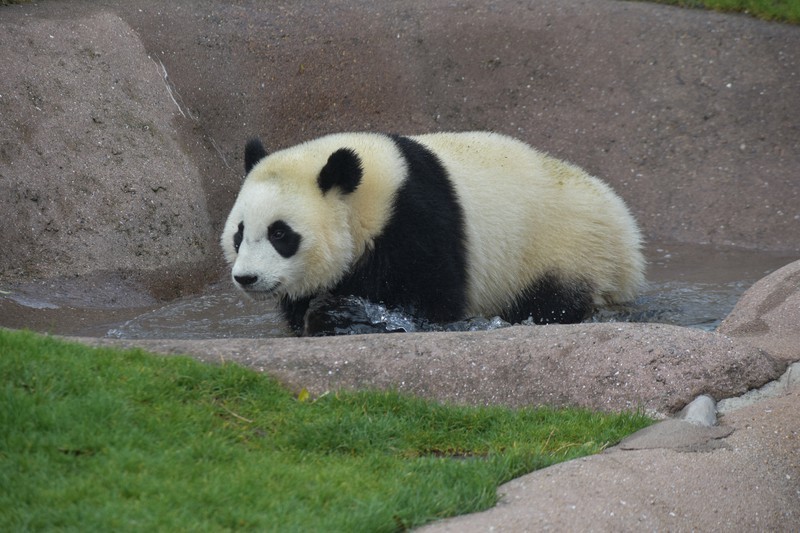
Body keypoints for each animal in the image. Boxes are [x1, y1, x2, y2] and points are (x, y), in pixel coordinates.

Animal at [221, 131, 645, 335]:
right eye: (239, 234)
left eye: (281, 234)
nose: (247, 278)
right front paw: (318, 314)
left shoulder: (416, 219)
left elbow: (429, 302)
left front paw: (340, 316)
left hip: (565, 248)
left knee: (552, 301)